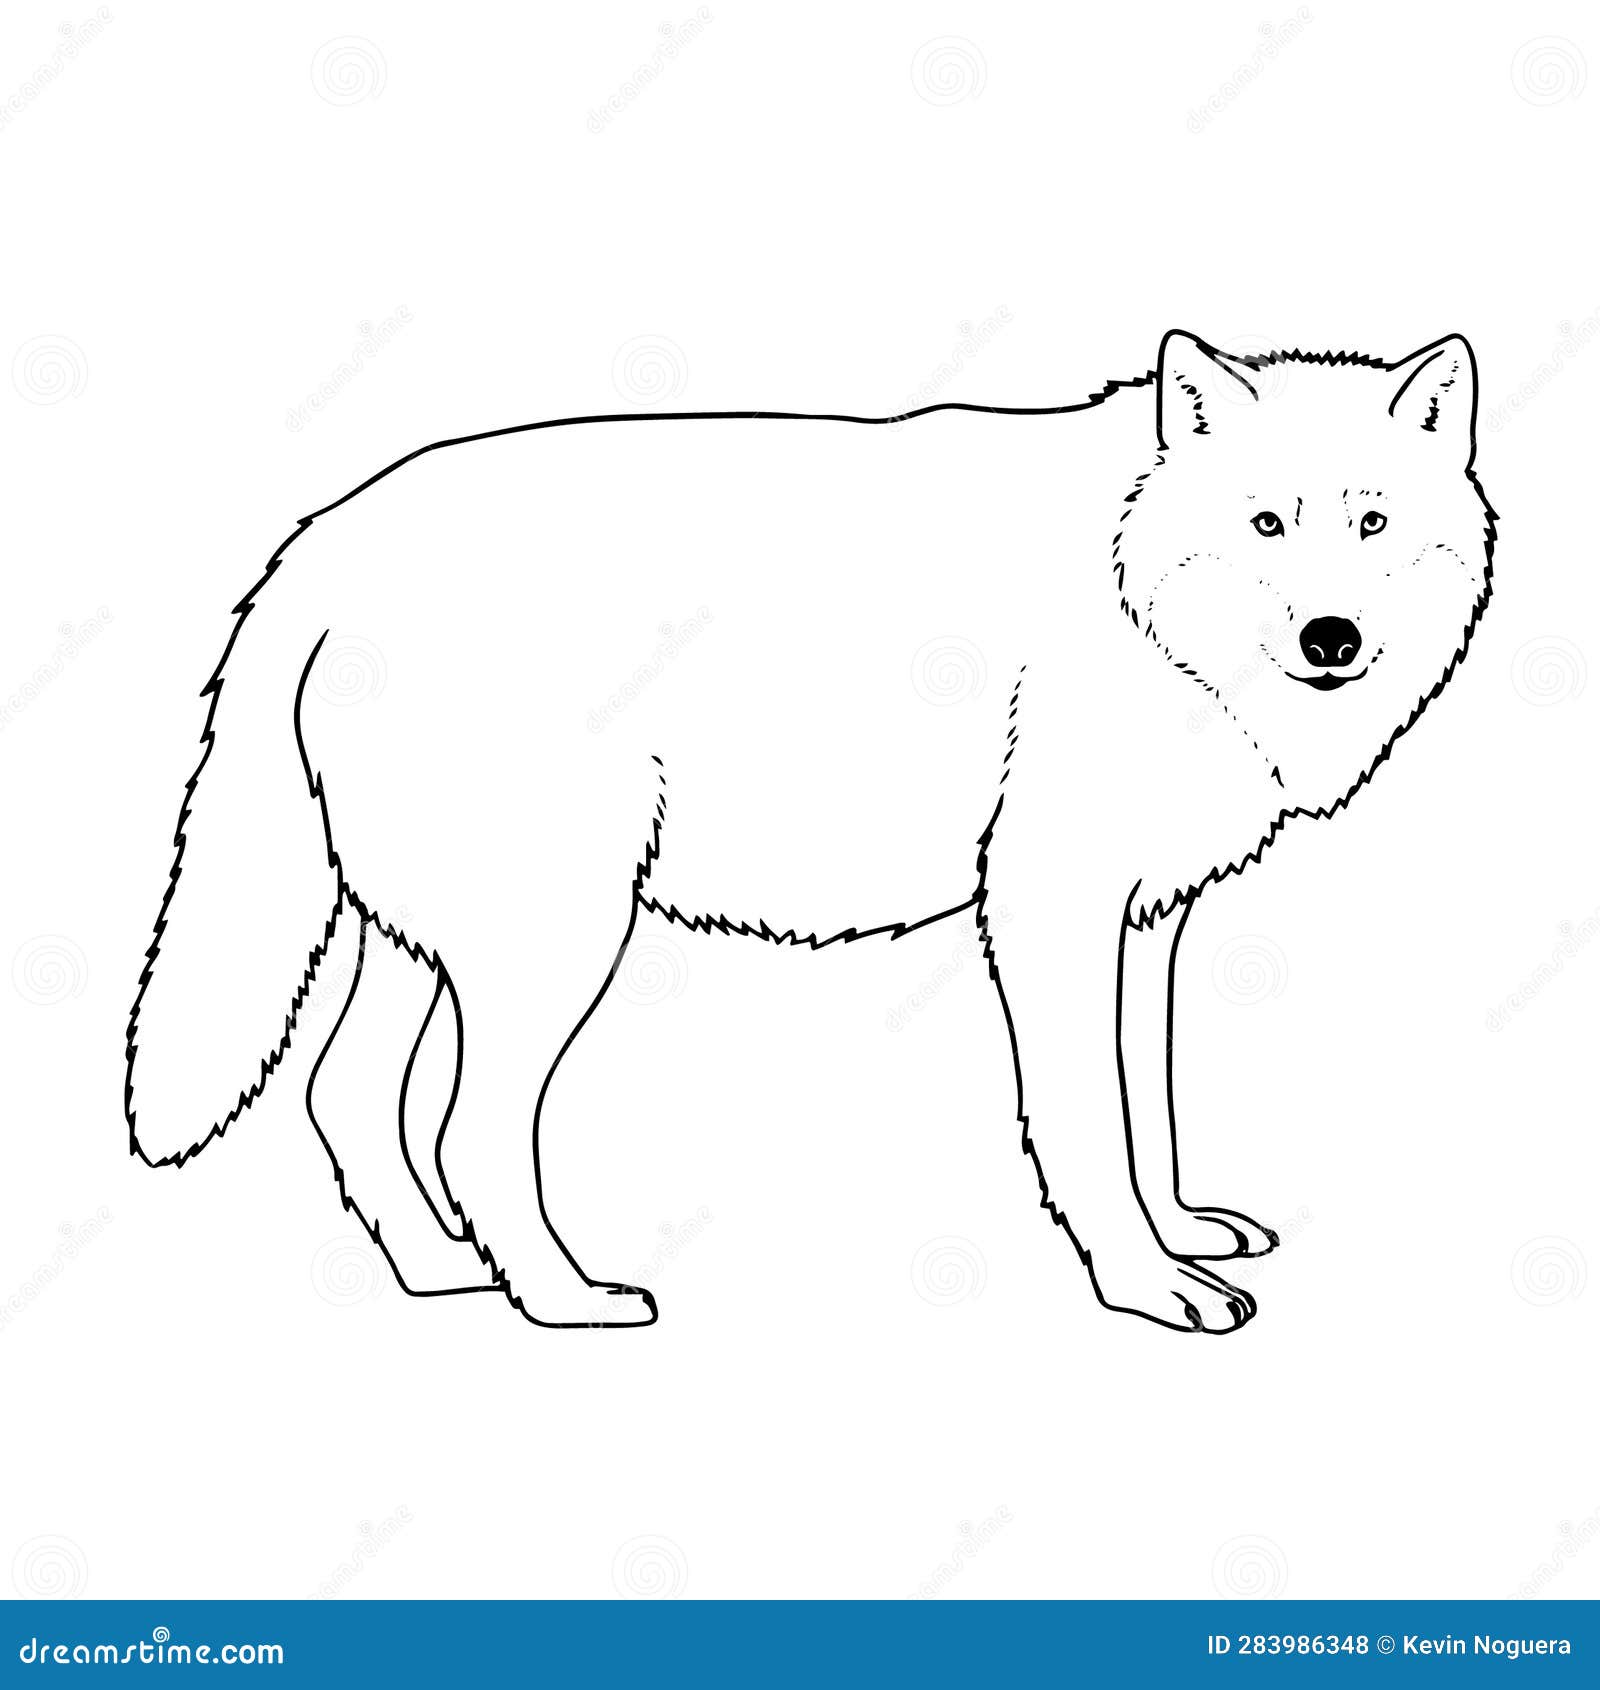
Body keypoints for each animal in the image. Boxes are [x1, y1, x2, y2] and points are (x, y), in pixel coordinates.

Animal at [126, 330, 1493, 1333]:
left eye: (1371, 524)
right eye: (1265, 525)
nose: (1331, 638)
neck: (1137, 596)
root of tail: (318, 541)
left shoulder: (1148, 916)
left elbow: (1145, 1109)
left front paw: (1182, 1238)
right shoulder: (1051, 908)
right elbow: (1086, 1123)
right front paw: (1144, 1286)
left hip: (426, 942)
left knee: (342, 1098)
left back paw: (445, 1275)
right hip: (557, 943)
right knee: (468, 1131)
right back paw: (564, 1302)